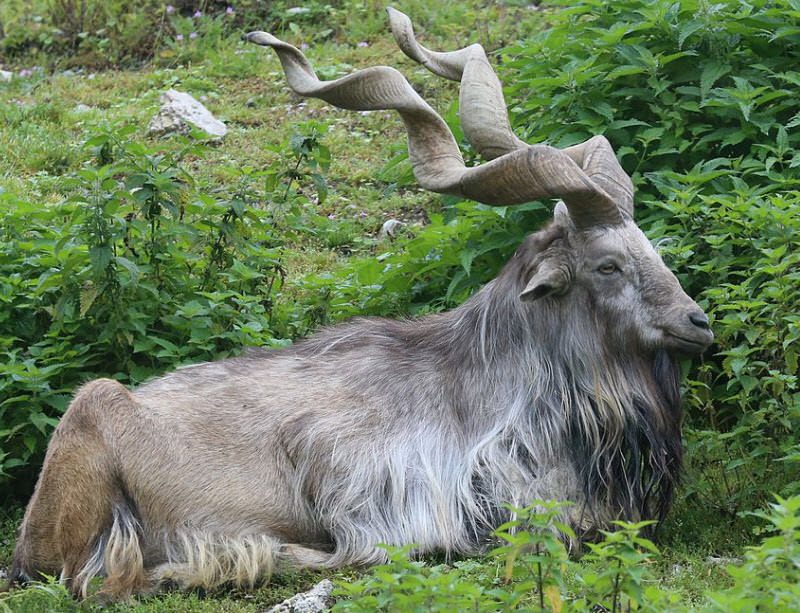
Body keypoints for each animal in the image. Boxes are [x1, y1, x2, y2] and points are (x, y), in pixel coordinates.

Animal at [9, 8, 713, 601]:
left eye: (649, 249)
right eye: (607, 265)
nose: (697, 323)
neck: (492, 383)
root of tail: (25, 539)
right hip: (93, 419)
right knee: (93, 578)